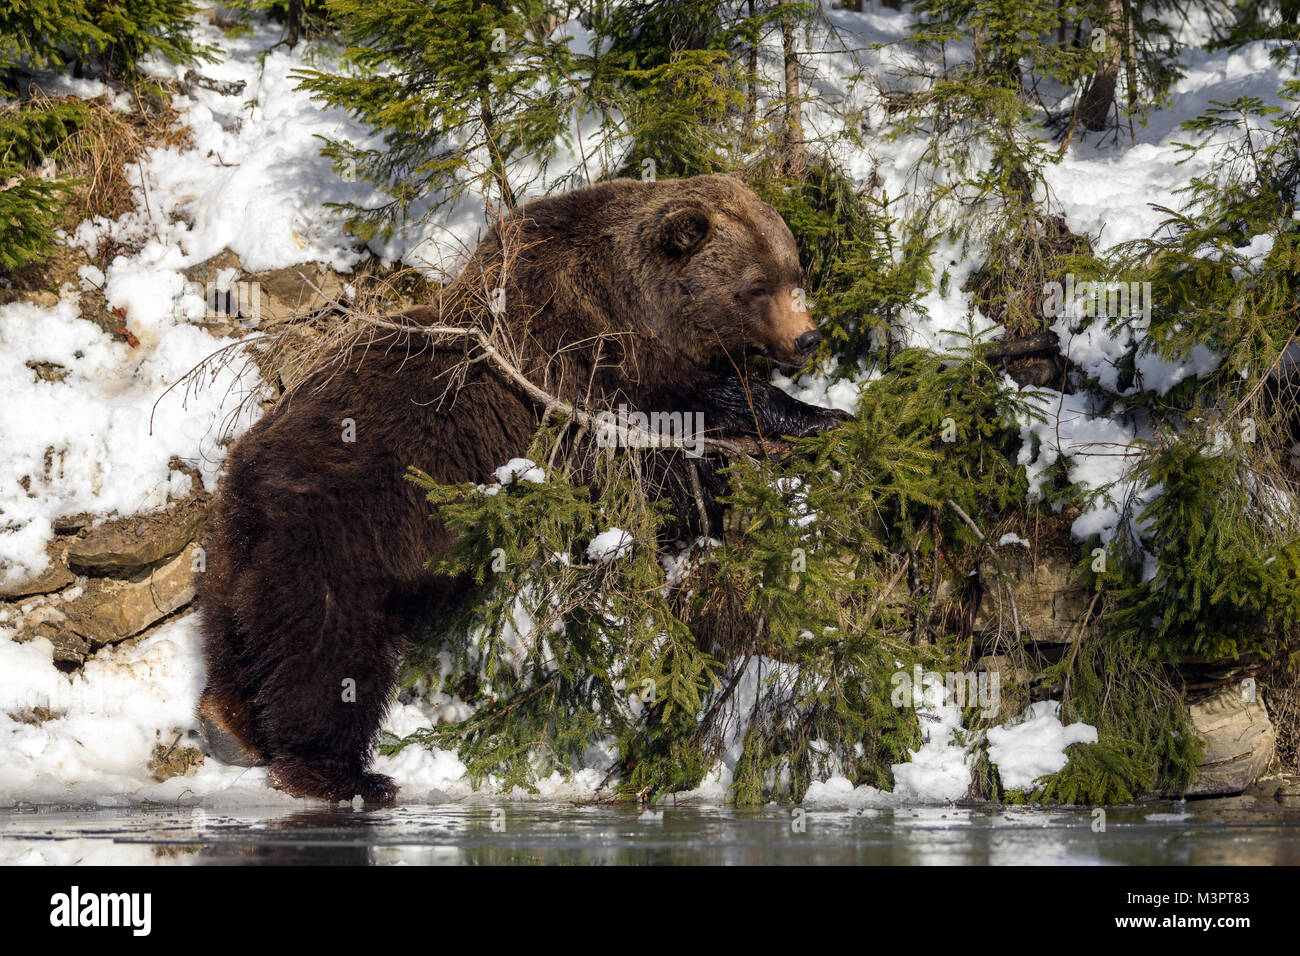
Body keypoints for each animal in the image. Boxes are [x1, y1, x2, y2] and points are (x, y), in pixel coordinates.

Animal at [196, 174, 851, 803]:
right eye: (757, 286)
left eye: (794, 270)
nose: (809, 338)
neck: (635, 306)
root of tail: (248, 488)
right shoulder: (582, 375)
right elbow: (676, 446)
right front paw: (814, 422)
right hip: (340, 541)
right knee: (328, 654)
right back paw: (343, 775)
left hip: (233, 553)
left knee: (239, 637)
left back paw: (225, 724)